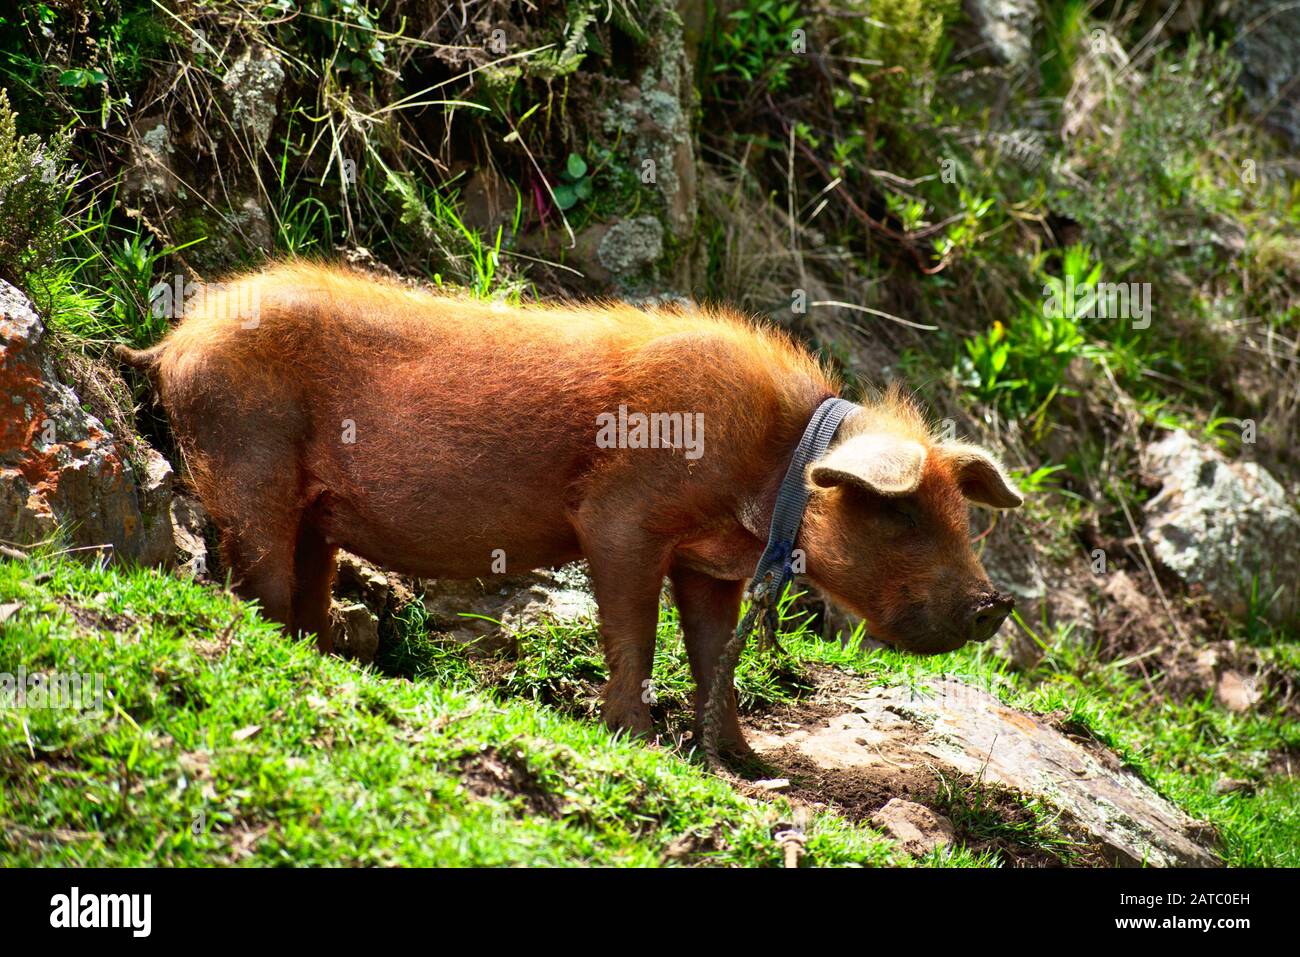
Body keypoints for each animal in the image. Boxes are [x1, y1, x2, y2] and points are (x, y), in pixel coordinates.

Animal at [118, 261, 1022, 753]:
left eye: (959, 512)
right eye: (903, 514)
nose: (996, 603)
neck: (774, 470)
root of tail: (173, 342)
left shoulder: (710, 564)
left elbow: (713, 657)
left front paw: (745, 762)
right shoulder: (622, 517)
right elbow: (635, 633)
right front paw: (637, 739)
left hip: (312, 510)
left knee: (299, 585)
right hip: (246, 458)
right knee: (254, 575)